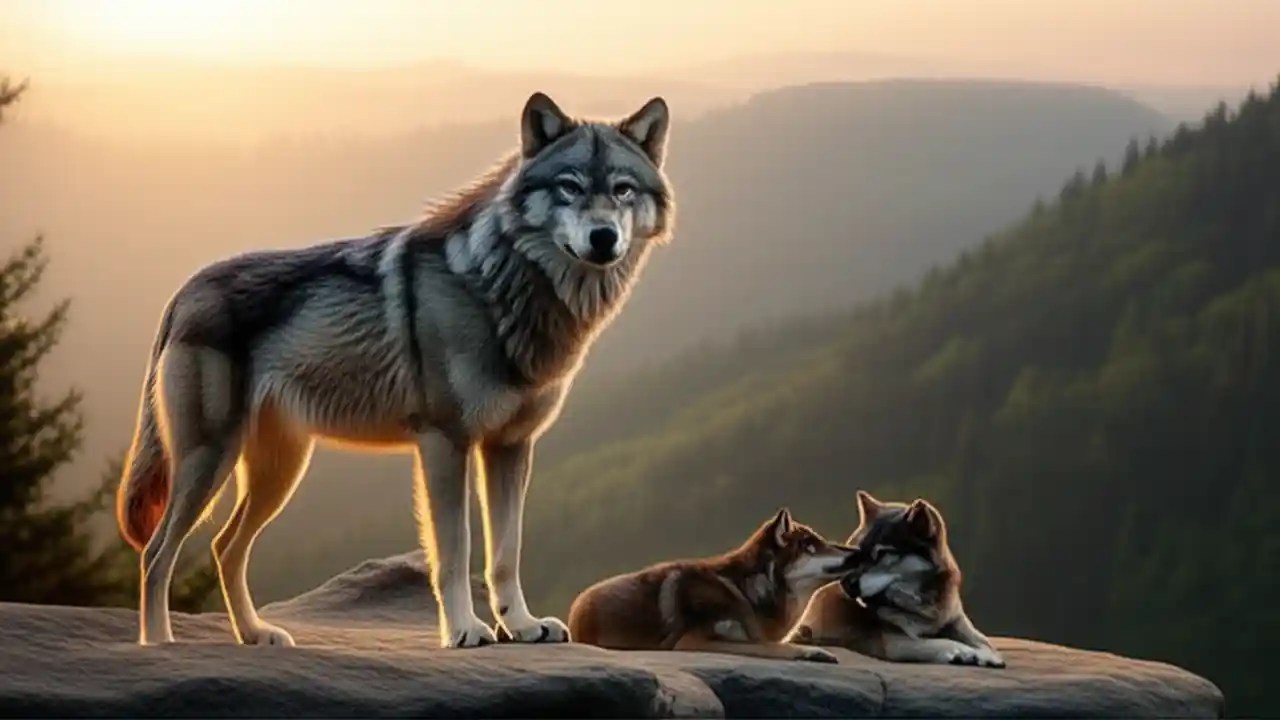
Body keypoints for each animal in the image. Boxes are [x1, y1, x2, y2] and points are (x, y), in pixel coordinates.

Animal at [115, 92, 675, 649]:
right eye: (570, 187)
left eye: (623, 190)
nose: (603, 237)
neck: (502, 288)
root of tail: (183, 292)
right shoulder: (445, 442)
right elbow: (455, 551)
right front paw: (466, 630)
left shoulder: (510, 446)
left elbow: (505, 554)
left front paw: (521, 626)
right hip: (210, 462)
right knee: (157, 553)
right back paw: (159, 643)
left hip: (278, 471)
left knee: (223, 547)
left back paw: (255, 634)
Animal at [568, 509, 860, 663]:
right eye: (810, 546)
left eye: (820, 541)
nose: (857, 552)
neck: (745, 590)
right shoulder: (690, 640)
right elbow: (768, 646)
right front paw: (811, 651)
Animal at [789, 491, 1005, 667]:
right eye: (856, 554)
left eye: (881, 554)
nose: (845, 584)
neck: (925, 608)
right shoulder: (894, 642)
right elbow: (940, 642)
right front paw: (968, 653)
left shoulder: (956, 621)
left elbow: (984, 642)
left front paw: (987, 654)